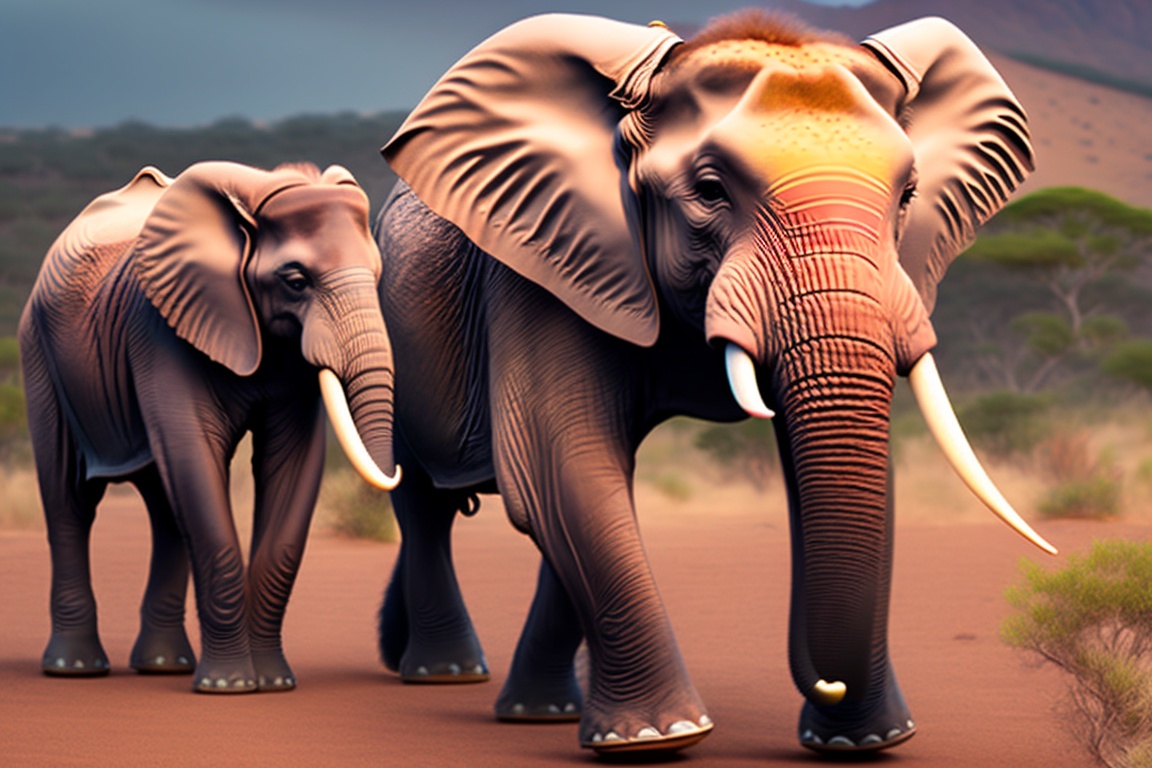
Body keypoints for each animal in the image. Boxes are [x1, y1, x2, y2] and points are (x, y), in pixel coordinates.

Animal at [18, 161, 401, 693]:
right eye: (296, 280)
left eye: (378, 273)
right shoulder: (160, 329)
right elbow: (195, 457)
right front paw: (230, 687)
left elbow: (291, 464)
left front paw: (274, 684)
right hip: (38, 352)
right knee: (69, 500)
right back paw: (74, 669)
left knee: (165, 509)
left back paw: (163, 666)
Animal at [373, 11, 1055, 754]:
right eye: (709, 192)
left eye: (908, 196)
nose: (827, 682)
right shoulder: (541, 265)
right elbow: (560, 461)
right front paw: (658, 739)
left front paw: (868, 744)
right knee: (424, 503)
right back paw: (444, 674)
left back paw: (536, 712)